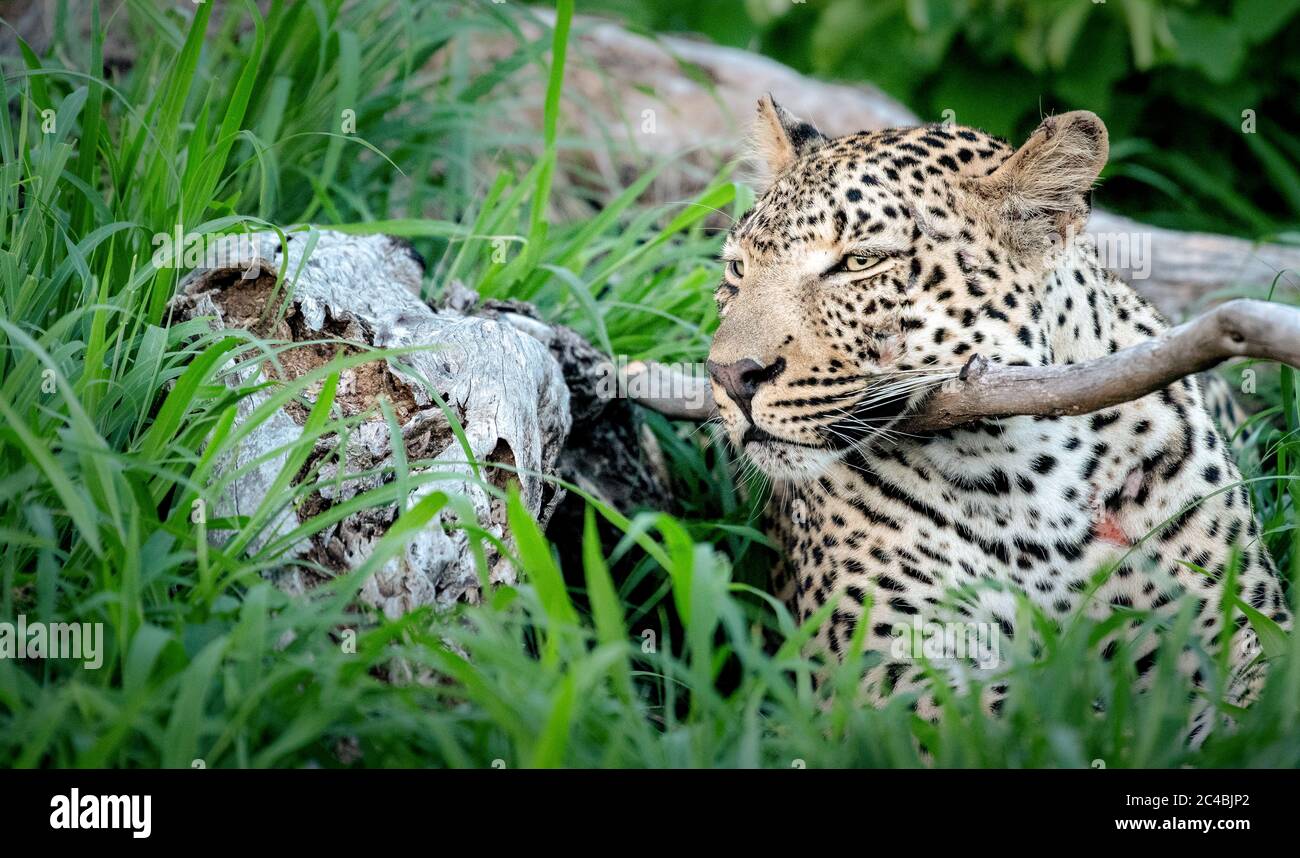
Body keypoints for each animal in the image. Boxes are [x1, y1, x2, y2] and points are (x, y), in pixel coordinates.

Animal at [706, 95, 1290, 740]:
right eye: (738, 270)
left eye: (859, 262)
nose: (728, 375)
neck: (1031, 472)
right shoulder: (887, 674)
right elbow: (1021, 716)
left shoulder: (1245, 633)